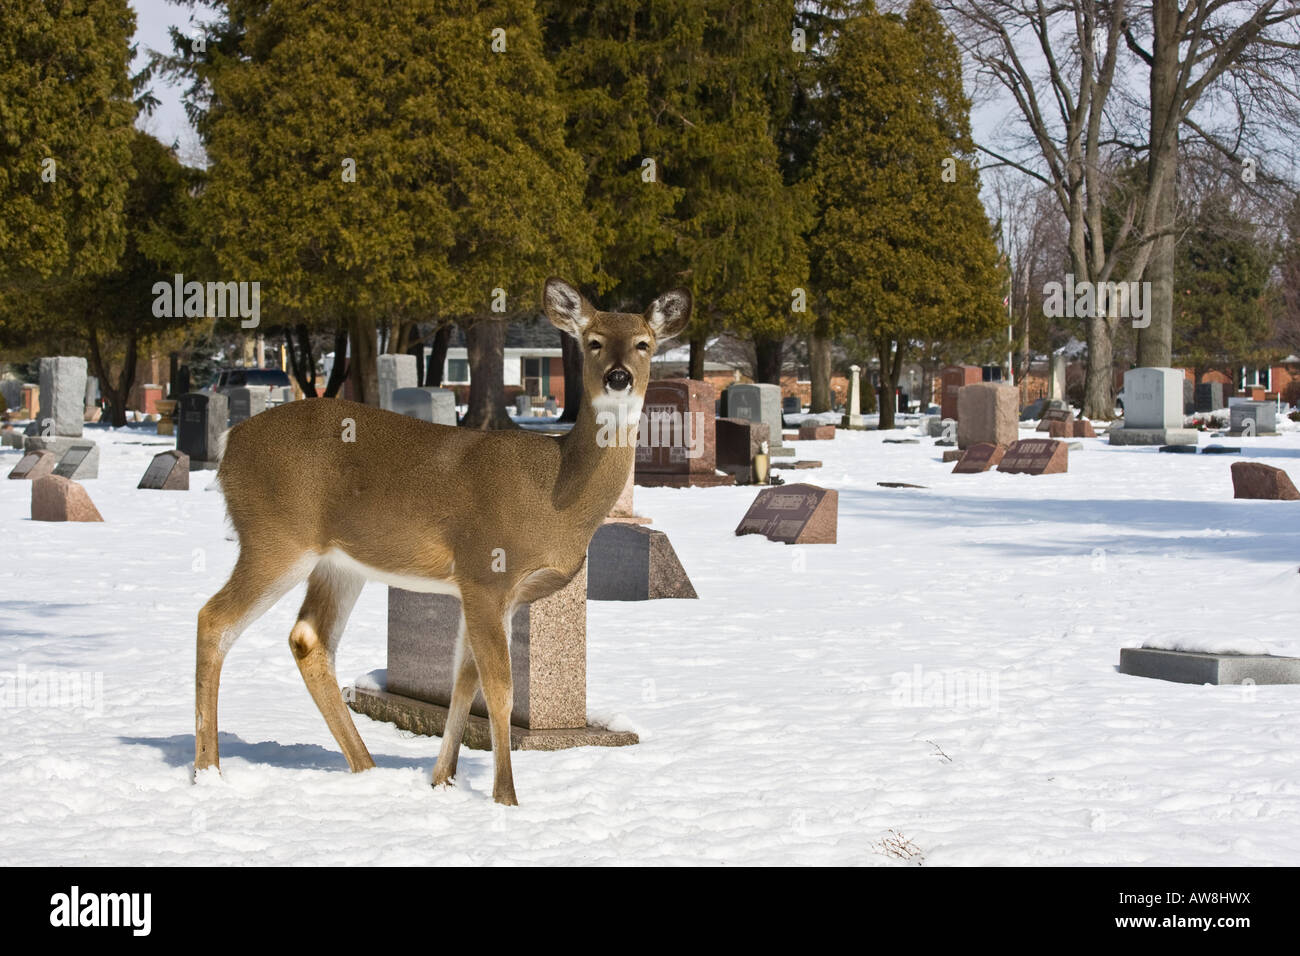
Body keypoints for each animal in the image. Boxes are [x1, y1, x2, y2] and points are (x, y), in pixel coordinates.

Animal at [195, 278, 691, 805]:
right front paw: (506, 798)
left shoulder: (498, 594)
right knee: (214, 619)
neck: (555, 494)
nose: (618, 376)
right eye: (593, 341)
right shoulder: (485, 571)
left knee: (308, 638)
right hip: (276, 536)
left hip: (337, 563)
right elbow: (499, 689)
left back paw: (365, 768)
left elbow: (463, 683)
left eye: (644, 343)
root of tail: (228, 443)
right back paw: (208, 771)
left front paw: (442, 779)